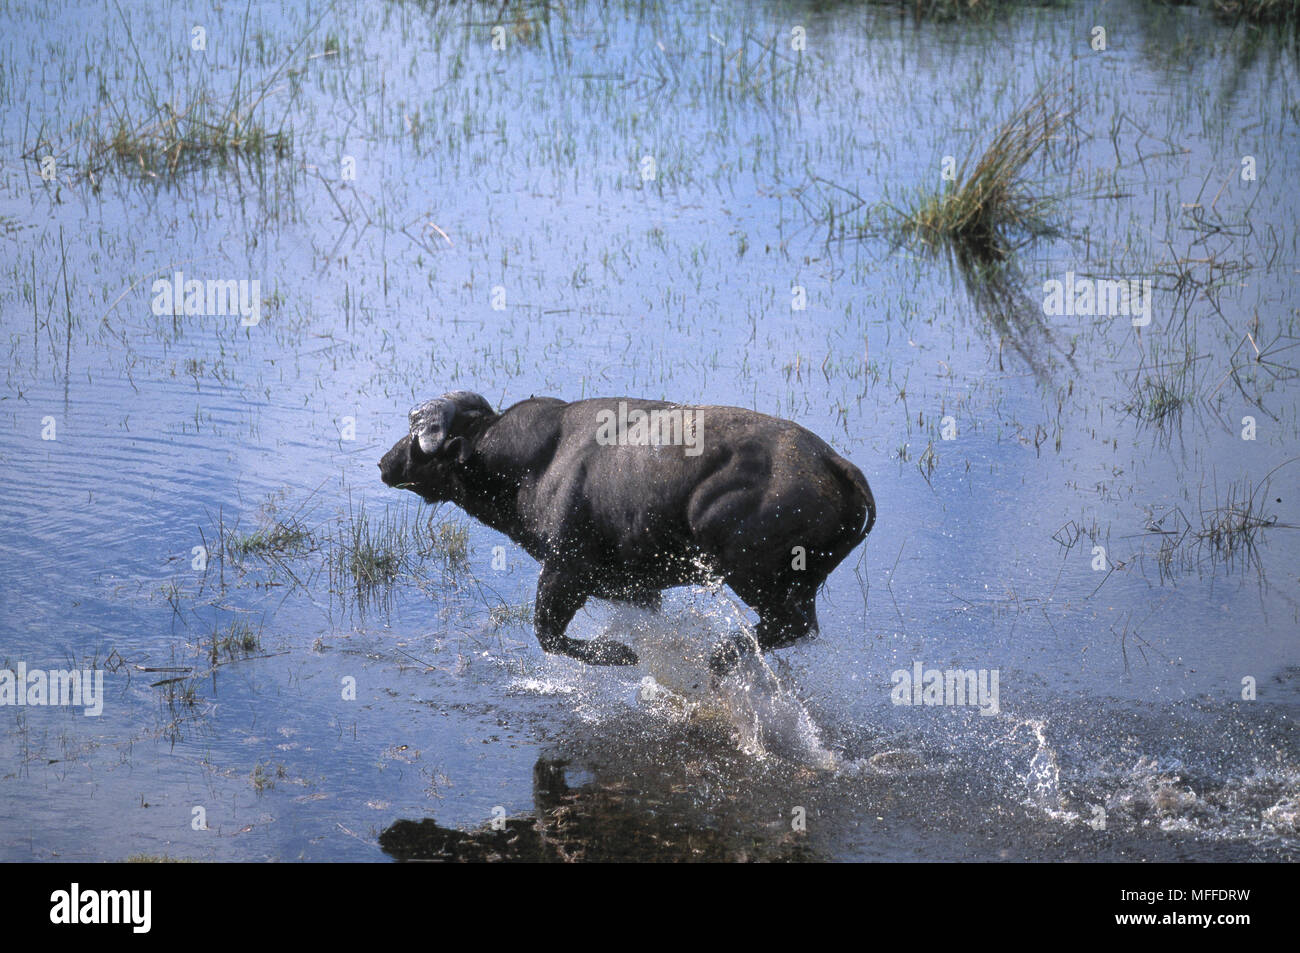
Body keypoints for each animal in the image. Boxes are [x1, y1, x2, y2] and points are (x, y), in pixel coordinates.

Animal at [379, 392, 874, 673]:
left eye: (416, 438)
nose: (386, 462)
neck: (535, 462)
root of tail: (832, 463)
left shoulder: (564, 572)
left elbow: (549, 635)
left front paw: (620, 655)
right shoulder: (637, 591)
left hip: (753, 577)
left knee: (790, 626)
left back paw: (722, 655)